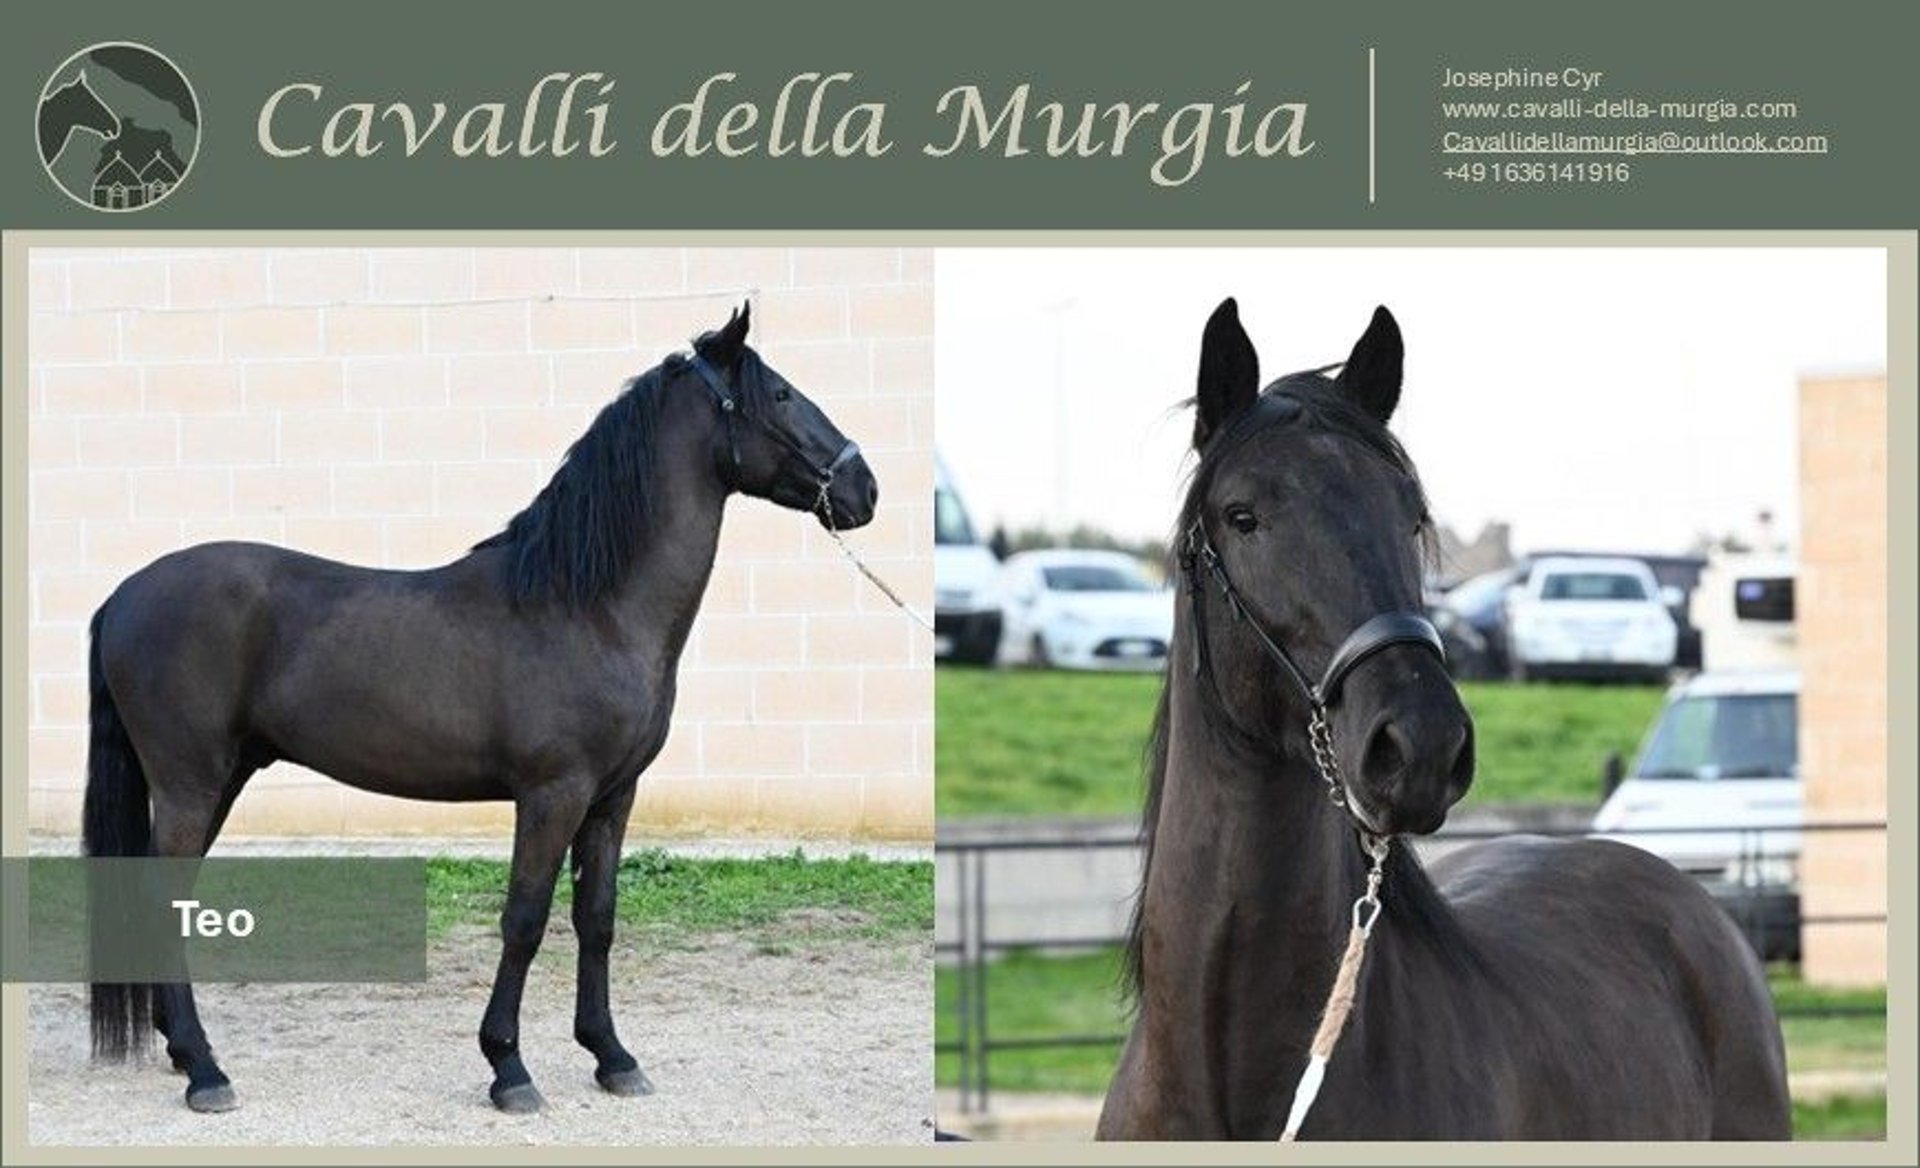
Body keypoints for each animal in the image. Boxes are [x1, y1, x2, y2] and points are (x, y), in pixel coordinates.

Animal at [82, 304, 881, 1115]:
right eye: (779, 394)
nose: (864, 488)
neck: (588, 608)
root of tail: (124, 594)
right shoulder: (552, 794)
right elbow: (524, 920)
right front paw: (509, 1067)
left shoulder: (613, 796)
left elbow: (596, 920)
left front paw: (612, 1056)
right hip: (191, 782)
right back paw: (205, 1069)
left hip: (222, 779)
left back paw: (180, 1052)